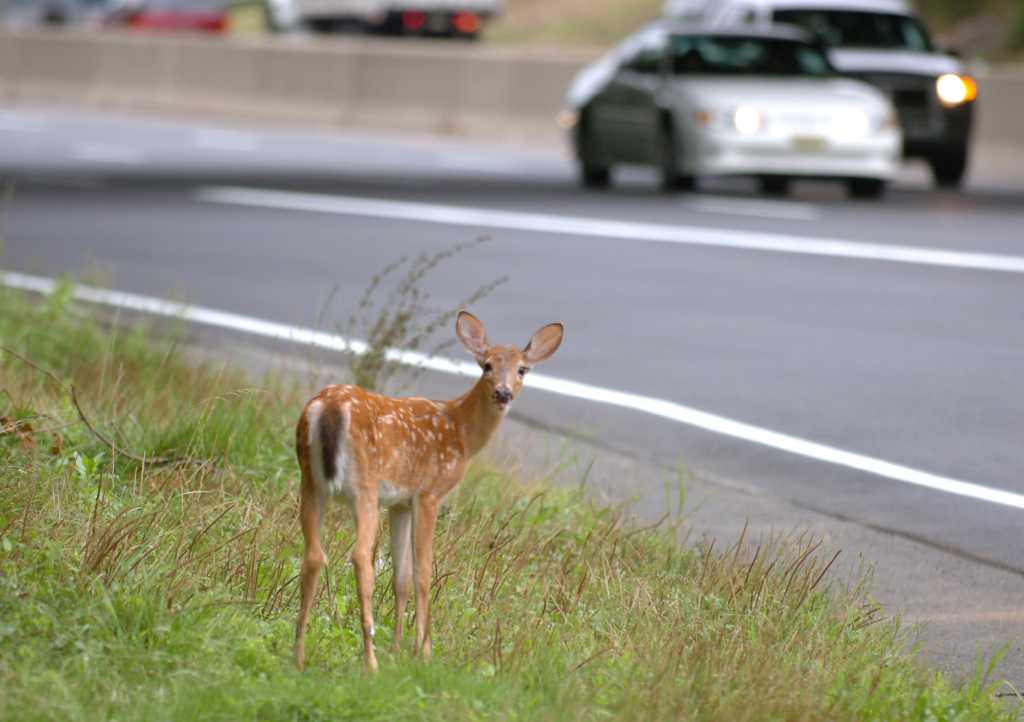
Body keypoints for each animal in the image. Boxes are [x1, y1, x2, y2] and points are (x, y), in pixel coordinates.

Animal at [293, 311, 564, 671]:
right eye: (486, 365)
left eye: (522, 369)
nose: (503, 393)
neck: (461, 433)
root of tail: (330, 408)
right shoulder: (429, 494)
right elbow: (423, 572)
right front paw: (423, 650)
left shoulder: (400, 502)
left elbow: (402, 577)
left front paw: (397, 648)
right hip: (364, 486)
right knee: (361, 556)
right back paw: (370, 662)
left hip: (310, 481)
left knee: (313, 555)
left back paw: (298, 656)